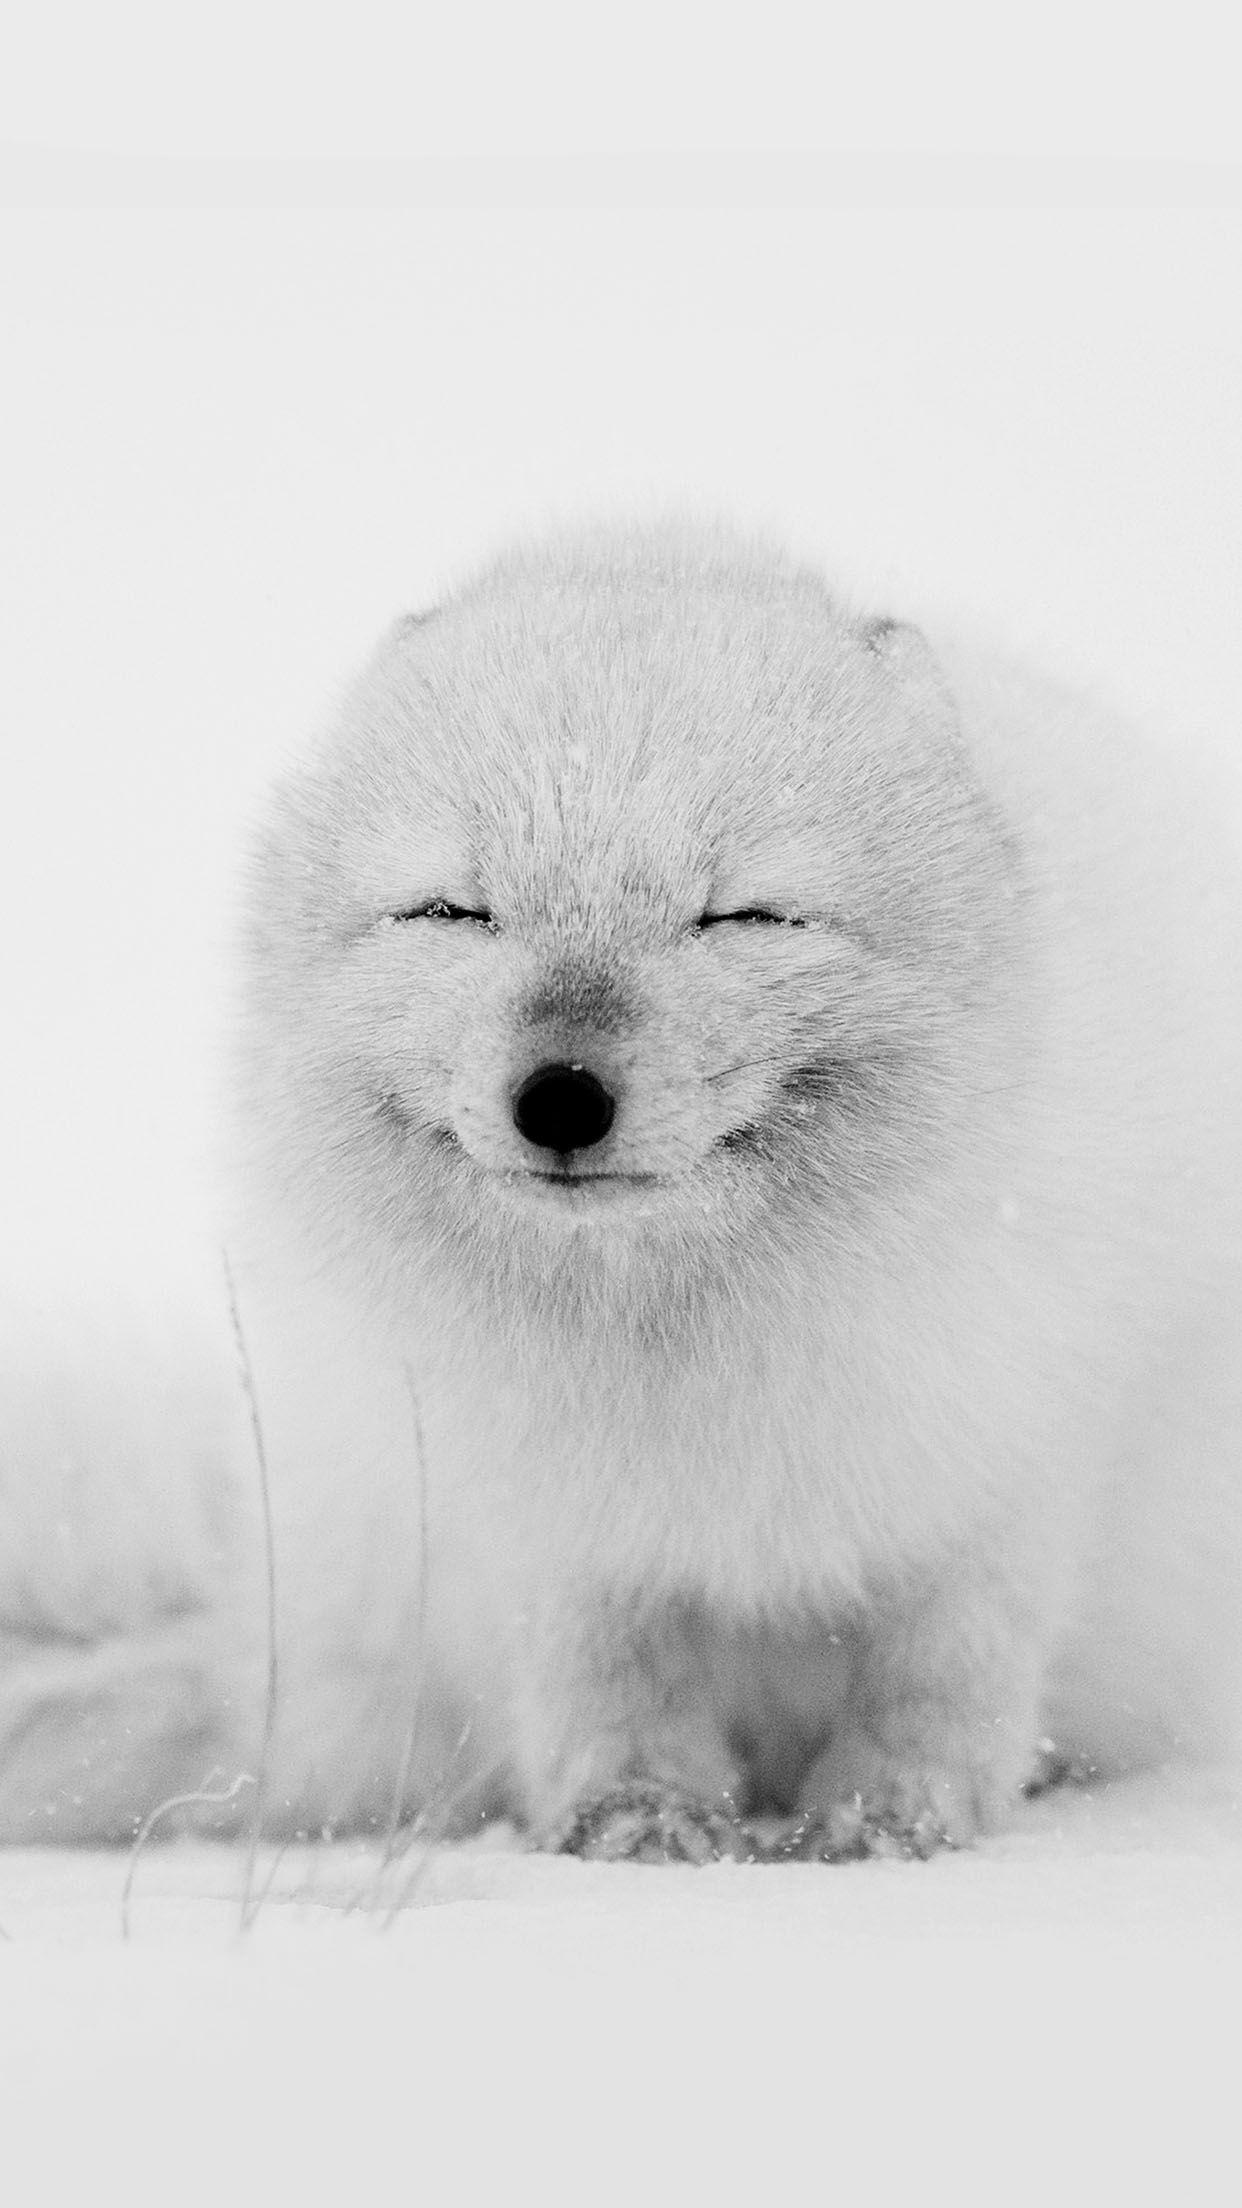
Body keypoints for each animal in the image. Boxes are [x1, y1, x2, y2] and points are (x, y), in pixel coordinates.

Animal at [2, 522, 1240, 1856]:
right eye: (455, 910)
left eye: (745, 915)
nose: (559, 1099)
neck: (673, 1348)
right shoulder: (545, 1521)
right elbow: (605, 1681)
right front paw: (636, 1827)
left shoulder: (1010, 1463)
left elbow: (942, 1673)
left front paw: (888, 1824)